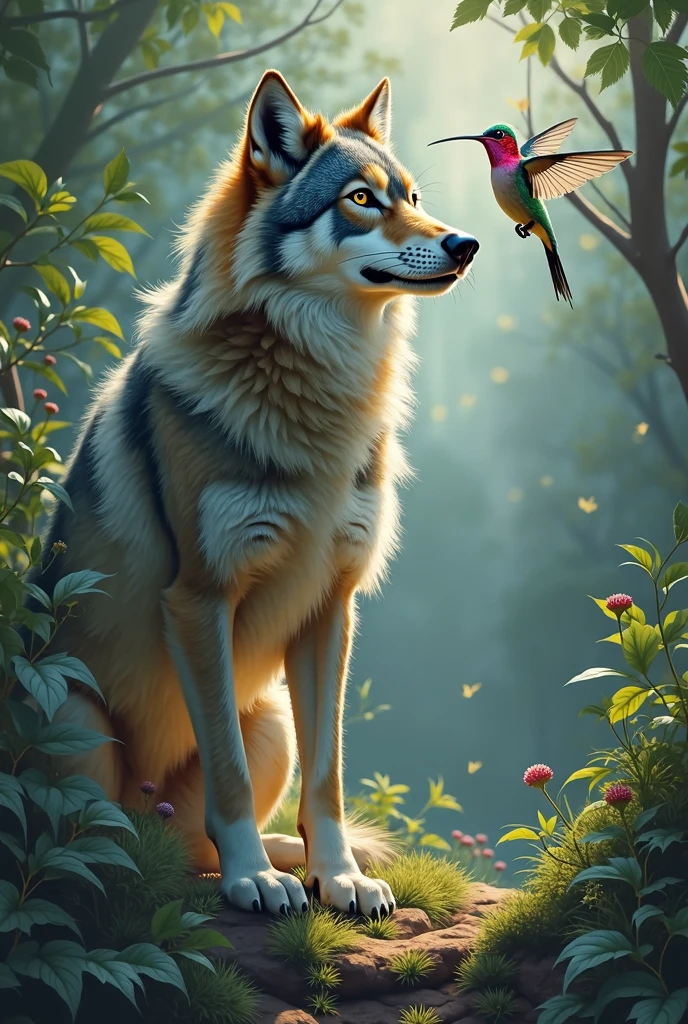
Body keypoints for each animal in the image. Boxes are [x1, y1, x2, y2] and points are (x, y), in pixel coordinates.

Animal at [38, 70, 479, 918]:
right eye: (361, 200)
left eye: (411, 195)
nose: (465, 244)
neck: (319, 393)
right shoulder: (198, 600)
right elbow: (230, 776)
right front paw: (254, 881)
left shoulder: (332, 608)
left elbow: (328, 778)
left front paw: (340, 877)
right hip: (75, 714)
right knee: (95, 845)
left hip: (267, 715)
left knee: (189, 842)